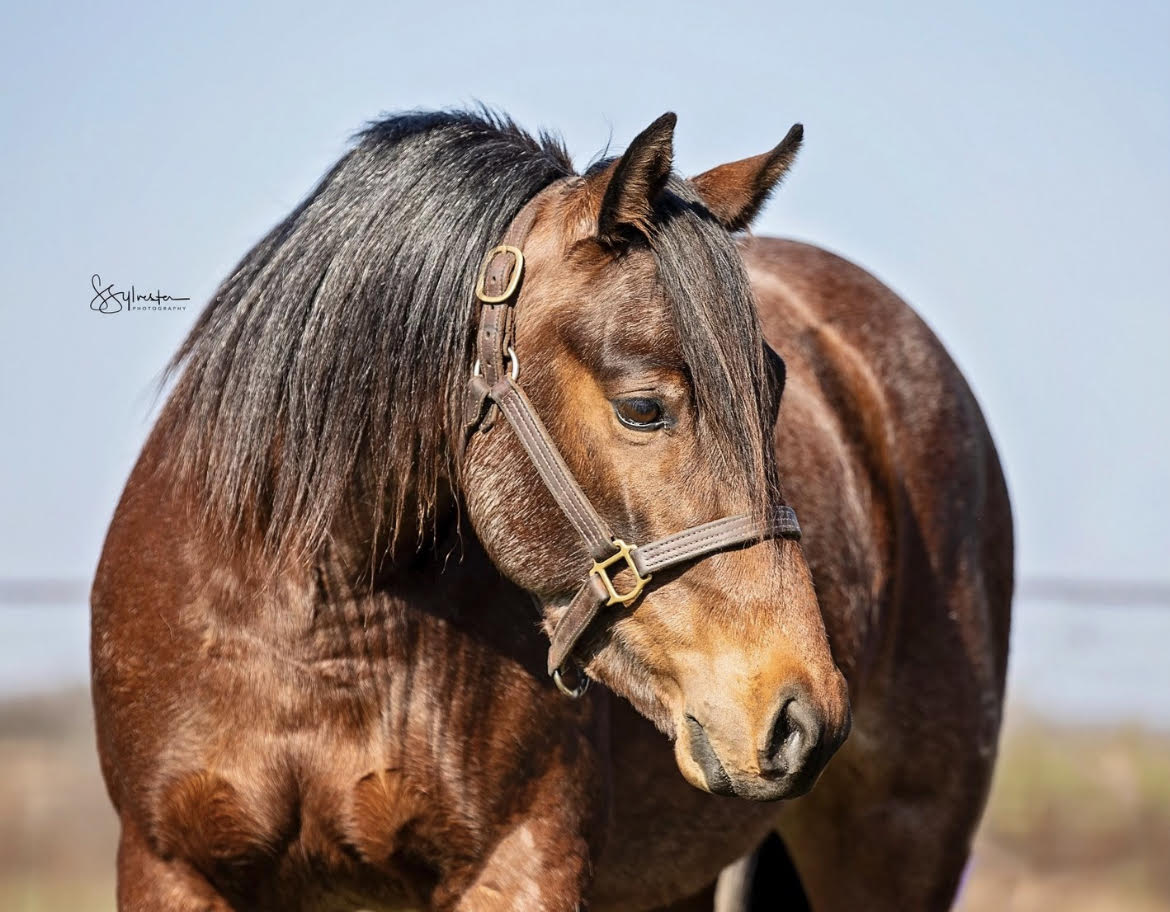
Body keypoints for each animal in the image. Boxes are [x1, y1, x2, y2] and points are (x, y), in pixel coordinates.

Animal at [91, 109, 1012, 911]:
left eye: (775, 388)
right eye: (643, 408)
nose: (803, 717)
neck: (322, 617)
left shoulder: (522, 866)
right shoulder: (169, 867)